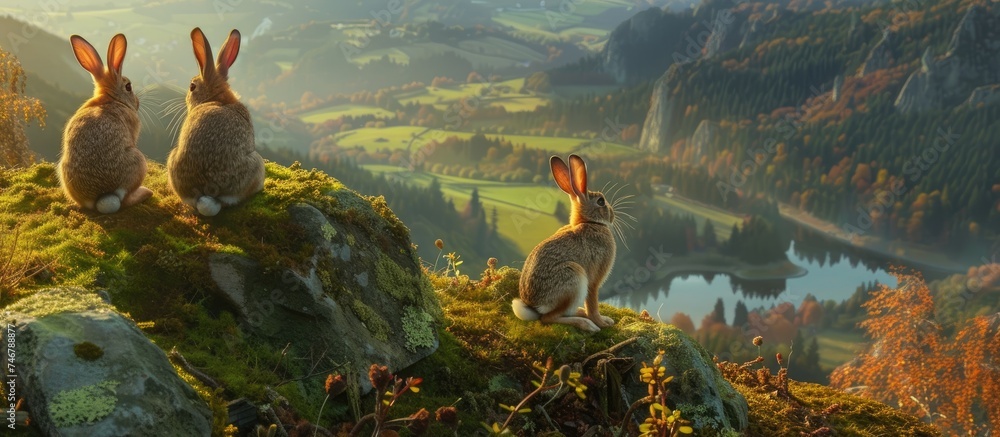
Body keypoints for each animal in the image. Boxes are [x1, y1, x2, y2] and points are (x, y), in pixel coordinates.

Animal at [58, 33, 152, 214]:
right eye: (128, 86)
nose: (137, 103)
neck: (111, 98)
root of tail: (104, 197)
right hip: (139, 161)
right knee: (126, 200)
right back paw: (145, 192)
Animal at [512, 154, 617, 332]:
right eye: (601, 201)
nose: (612, 214)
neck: (589, 222)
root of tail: (534, 307)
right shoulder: (594, 279)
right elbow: (593, 304)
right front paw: (602, 323)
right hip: (573, 278)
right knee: (548, 318)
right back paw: (587, 324)